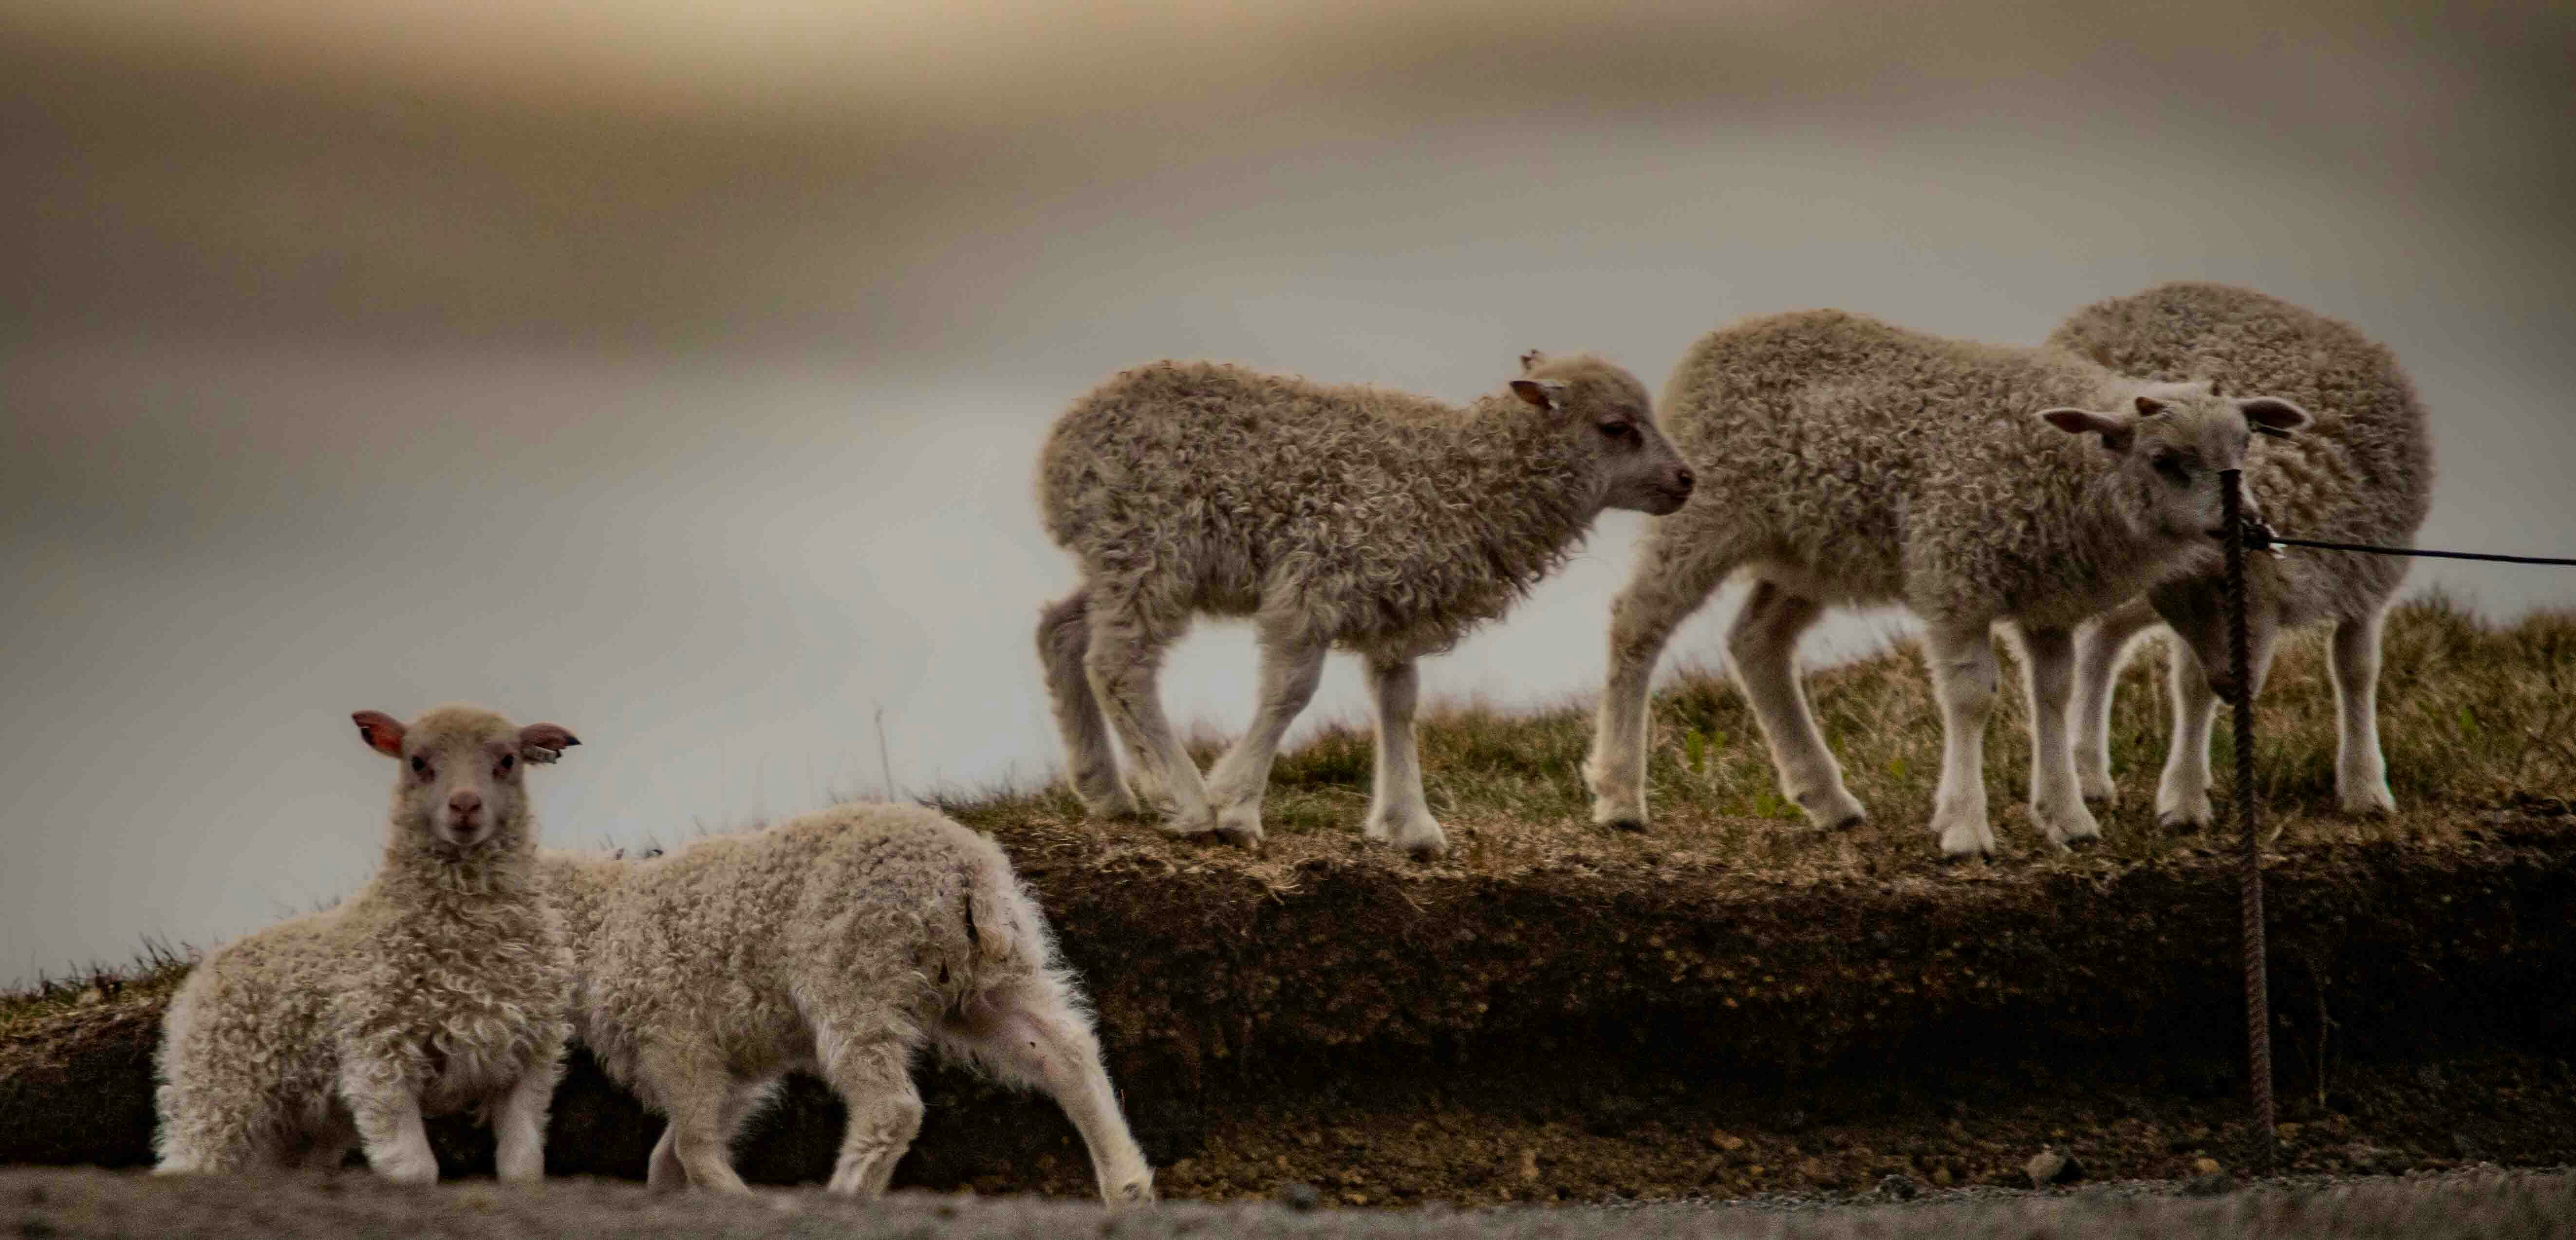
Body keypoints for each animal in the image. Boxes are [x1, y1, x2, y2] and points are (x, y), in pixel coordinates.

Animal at [153, 705, 582, 1183]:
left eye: (508, 760)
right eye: (417, 761)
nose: (465, 806)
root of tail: (200, 977)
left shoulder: (529, 1057)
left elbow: (522, 1166)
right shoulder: (377, 1054)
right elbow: (414, 1170)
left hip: (300, 1123)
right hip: (217, 1088)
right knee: (191, 1156)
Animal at [537, 801, 1157, 1206]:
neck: (600, 923)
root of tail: (966, 873)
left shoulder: (678, 1041)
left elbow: (690, 1146)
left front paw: (736, 1198)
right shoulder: (734, 1069)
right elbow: (670, 1156)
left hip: (856, 975)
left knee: (891, 1107)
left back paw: (847, 1194)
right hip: (990, 979)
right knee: (1065, 1054)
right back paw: (1127, 1187)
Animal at [1035, 351, 1696, 859]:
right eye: (1616, 426)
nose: (1687, 479)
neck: (1468, 480)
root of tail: (1061, 451)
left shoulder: (1395, 608)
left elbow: (1399, 705)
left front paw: (1411, 826)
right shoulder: (1316, 583)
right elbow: (1289, 693)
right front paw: (1237, 808)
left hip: (1119, 559)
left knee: (1060, 631)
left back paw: (1106, 791)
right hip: (1154, 549)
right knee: (1119, 664)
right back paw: (1186, 800)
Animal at [1582, 309, 2315, 859]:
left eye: (2244, 445)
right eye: (2164, 460)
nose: (2250, 525)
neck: (2073, 473)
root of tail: (1720, 337)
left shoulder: (2048, 599)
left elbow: (2052, 693)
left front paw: (2066, 816)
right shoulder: (1954, 575)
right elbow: (1970, 698)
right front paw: (1965, 828)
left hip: (1810, 551)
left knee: (1757, 642)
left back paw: (1826, 797)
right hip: (1705, 513)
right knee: (1637, 620)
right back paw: (1619, 795)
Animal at [2048, 282, 2434, 827]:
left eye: (2235, 588)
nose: (2233, 686)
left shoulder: (2367, 576)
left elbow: (2357, 670)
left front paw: (2365, 789)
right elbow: (2190, 685)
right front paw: (2185, 799)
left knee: (2103, 640)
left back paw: (2088, 775)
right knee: (2098, 639)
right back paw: (2087, 772)